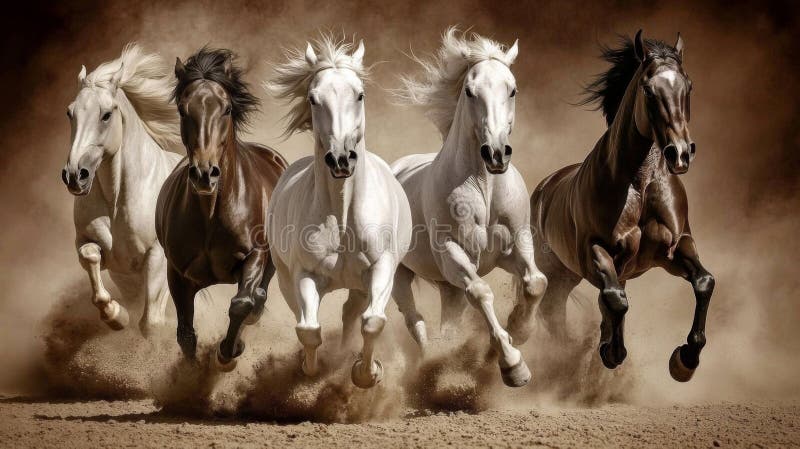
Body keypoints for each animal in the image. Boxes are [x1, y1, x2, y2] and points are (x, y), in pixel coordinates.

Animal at [62, 44, 182, 336]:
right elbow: (90, 255)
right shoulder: (99, 252)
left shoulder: (157, 256)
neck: (117, 199)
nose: (75, 175)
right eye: (70, 113)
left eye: (106, 115)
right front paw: (116, 315)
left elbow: (151, 323)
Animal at [156, 48, 288, 369]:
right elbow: (185, 333)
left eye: (226, 109)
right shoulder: (178, 273)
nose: (205, 174)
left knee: (259, 294)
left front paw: (228, 352)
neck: (212, 214)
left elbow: (241, 304)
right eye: (182, 109)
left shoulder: (255, 254)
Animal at [265, 36, 412, 389]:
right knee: (309, 316)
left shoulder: (382, 267)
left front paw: (367, 373)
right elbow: (308, 330)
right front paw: (312, 370)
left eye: (360, 94)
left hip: (360, 283)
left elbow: (372, 322)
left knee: (352, 313)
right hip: (286, 279)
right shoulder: (304, 274)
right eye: (313, 98)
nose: (341, 159)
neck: (343, 219)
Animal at [389, 28, 548, 387]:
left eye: (512, 89)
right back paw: (426, 365)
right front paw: (512, 364)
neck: (484, 189)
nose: (497, 153)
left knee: (447, 324)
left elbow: (535, 282)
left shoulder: (516, 244)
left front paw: (520, 328)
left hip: (449, 289)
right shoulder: (454, 254)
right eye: (470, 90)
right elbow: (480, 291)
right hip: (401, 274)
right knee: (414, 319)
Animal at [530, 31, 714, 382]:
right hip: (557, 270)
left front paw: (685, 360)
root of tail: (545, 186)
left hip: (575, 275)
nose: (681, 153)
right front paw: (610, 353)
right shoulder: (596, 251)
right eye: (648, 88)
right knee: (553, 310)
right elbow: (616, 301)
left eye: (689, 85)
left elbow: (704, 282)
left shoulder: (675, 247)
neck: (639, 184)